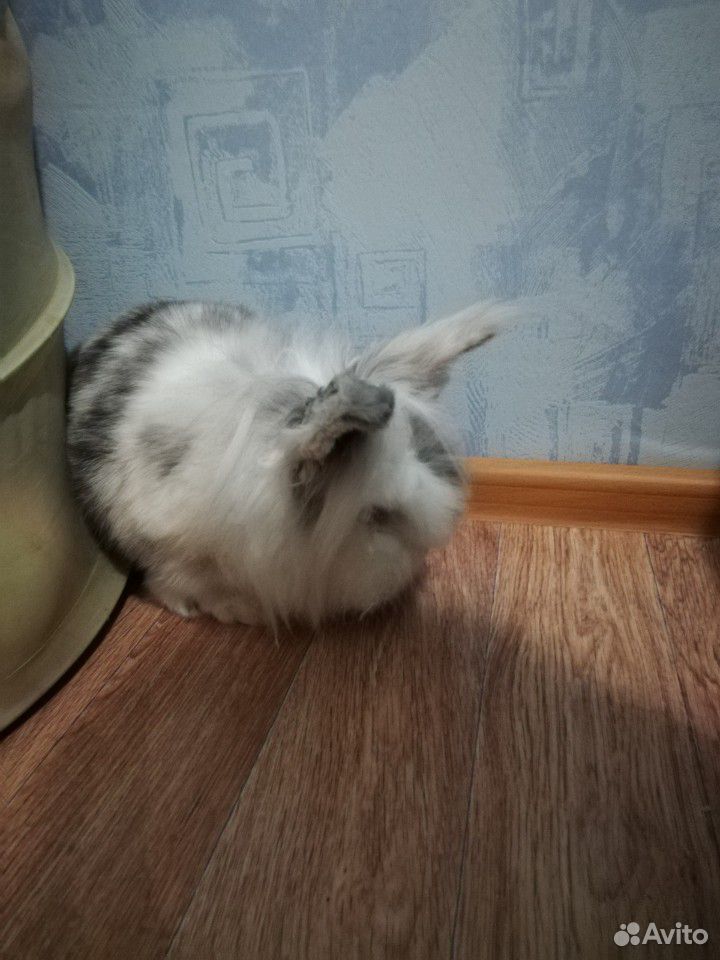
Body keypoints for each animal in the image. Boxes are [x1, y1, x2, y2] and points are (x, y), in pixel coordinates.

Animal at [67, 299, 516, 627]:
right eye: (377, 515)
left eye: (422, 455)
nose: (425, 545)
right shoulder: (160, 538)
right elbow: (180, 577)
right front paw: (234, 610)